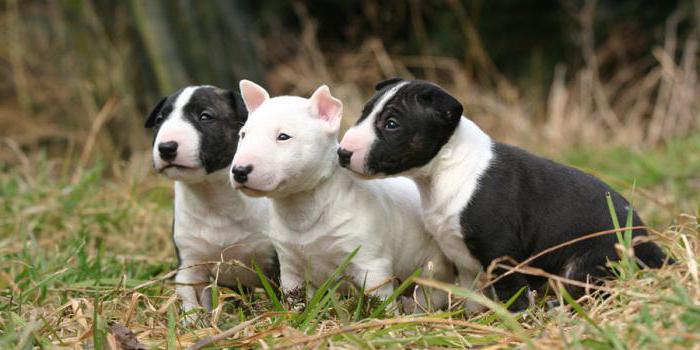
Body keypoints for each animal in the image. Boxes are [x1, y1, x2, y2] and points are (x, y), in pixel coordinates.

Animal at [146, 85, 278, 318]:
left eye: (205, 116)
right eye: (159, 120)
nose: (166, 147)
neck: (212, 194)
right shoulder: (191, 264)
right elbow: (192, 300)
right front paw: (193, 322)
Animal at [230, 80, 456, 312]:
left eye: (283, 136)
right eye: (243, 135)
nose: (239, 171)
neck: (303, 209)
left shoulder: (372, 264)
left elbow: (380, 300)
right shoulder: (291, 268)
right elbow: (297, 302)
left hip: (434, 269)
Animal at [340, 78, 672, 310]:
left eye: (391, 124)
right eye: (363, 114)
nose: (343, 153)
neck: (446, 168)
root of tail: (647, 239)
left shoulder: (502, 254)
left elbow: (514, 296)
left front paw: (518, 321)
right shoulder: (464, 261)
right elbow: (473, 298)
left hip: (588, 263)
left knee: (586, 293)